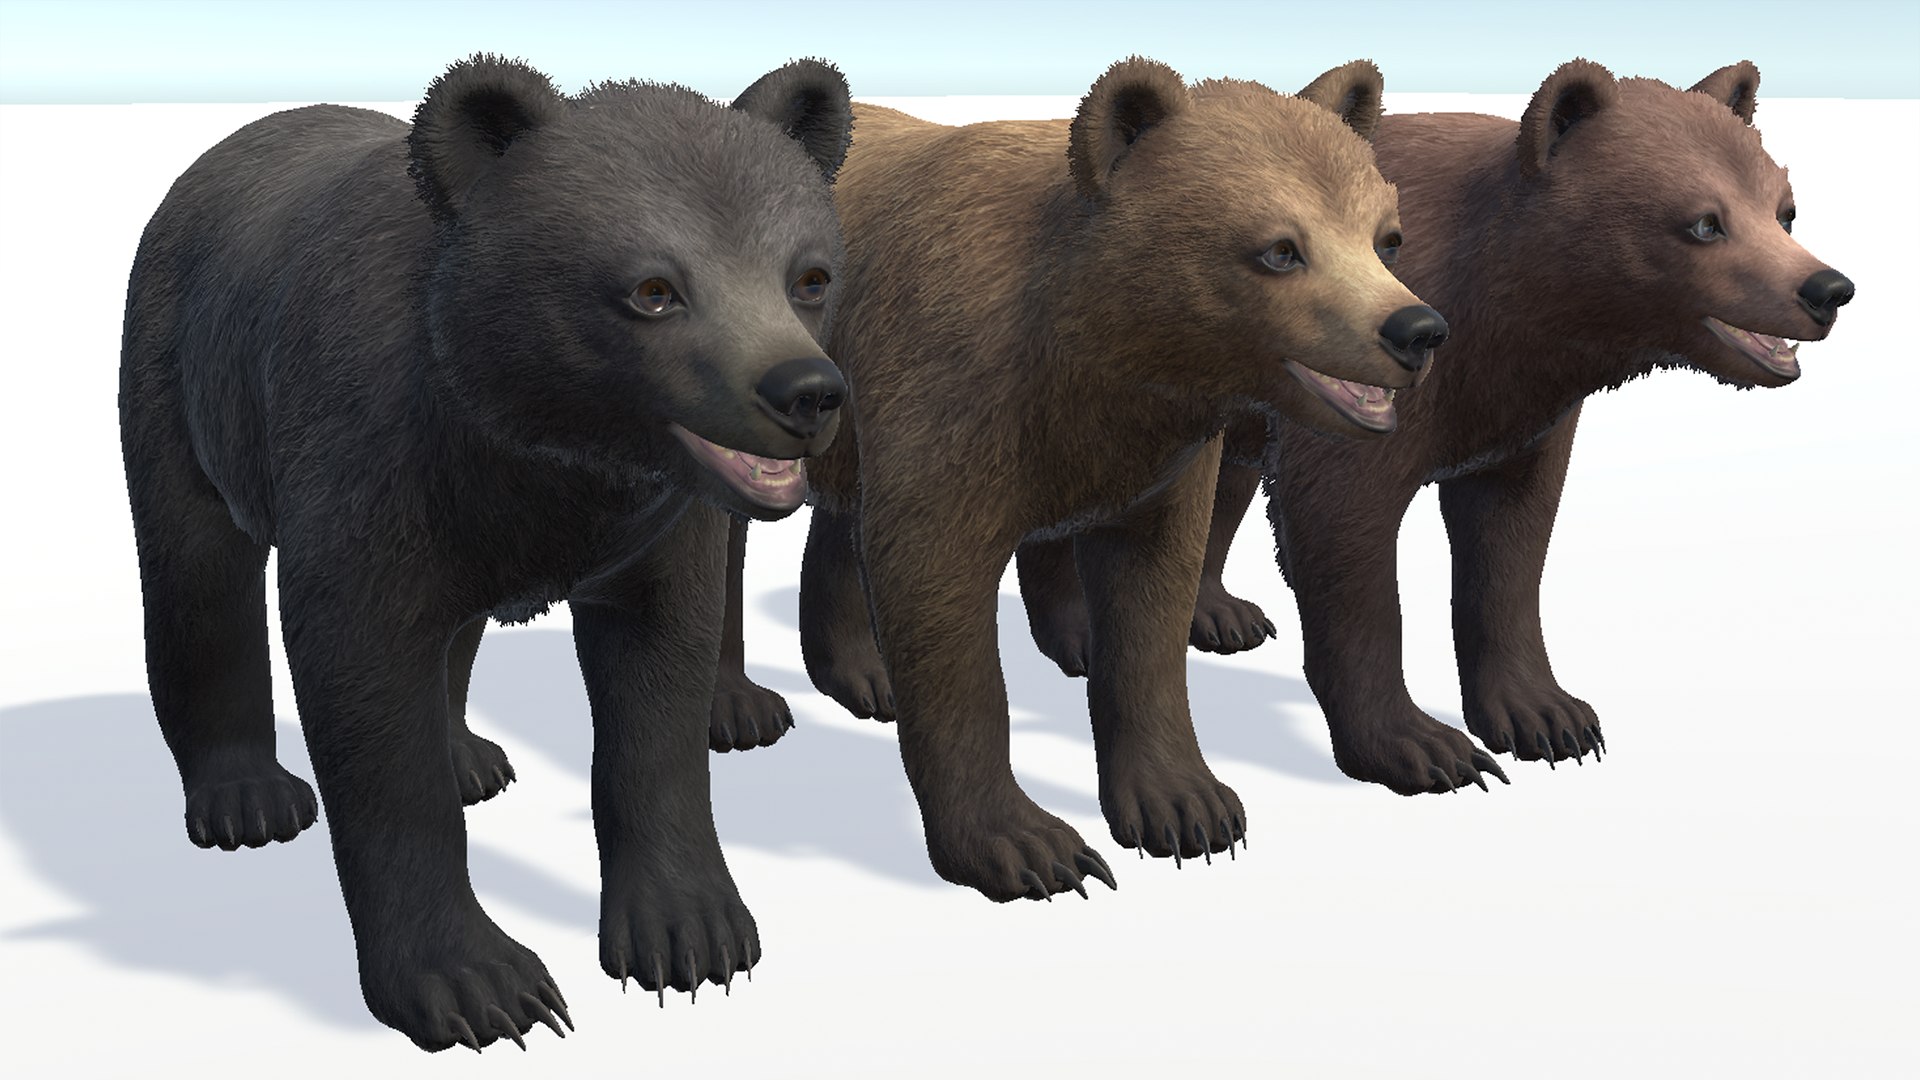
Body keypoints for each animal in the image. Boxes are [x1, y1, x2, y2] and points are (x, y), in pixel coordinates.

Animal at [117, 54, 853, 1050]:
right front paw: (481, 983)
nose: (803, 391)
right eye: (654, 288)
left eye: (808, 274)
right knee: (197, 574)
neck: (531, 435)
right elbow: (365, 685)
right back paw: (247, 796)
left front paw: (690, 932)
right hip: (181, 375)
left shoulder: (647, 520)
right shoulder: (362, 451)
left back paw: (466, 755)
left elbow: (658, 679)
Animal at [790, 57, 1452, 902]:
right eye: (1280, 248)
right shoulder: (950, 390)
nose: (1416, 331)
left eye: (1386, 239)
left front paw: (1187, 806)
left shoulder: (1156, 453)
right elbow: (939, 596)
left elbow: (1151, 601)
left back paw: (867, 670)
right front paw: (1027, 844)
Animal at [1017, 59, 1855, 795]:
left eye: (1784, 210)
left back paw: (1216, 611)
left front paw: (1546, 714)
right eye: (1706, 222)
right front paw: (1421, 745)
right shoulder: (1363, 383)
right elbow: (1346, 540)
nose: (1826, 288)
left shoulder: (1519, 408)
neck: (1512, 307)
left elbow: (1511, 541)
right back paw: (1080, 629)